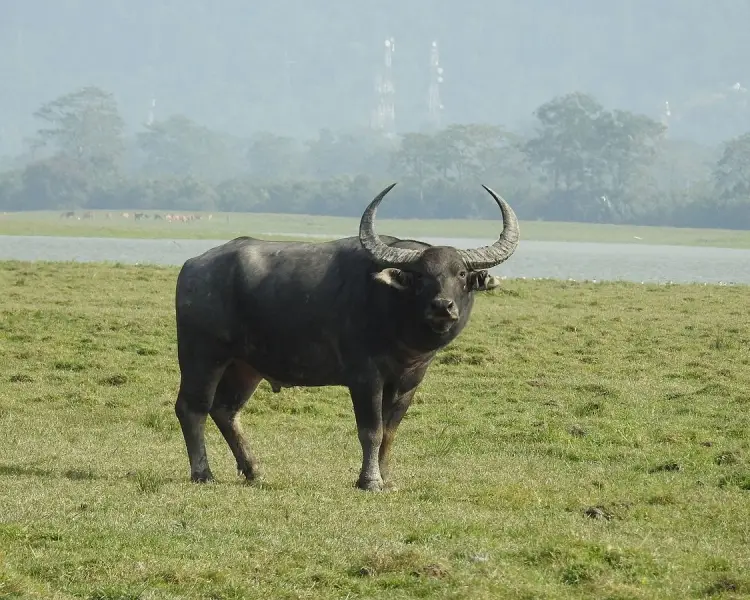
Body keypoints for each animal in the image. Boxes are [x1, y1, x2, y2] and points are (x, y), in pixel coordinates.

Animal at [174, 183, 520, 491]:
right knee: (192, 408)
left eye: (461, 274)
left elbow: (390, 432)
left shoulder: (409, 382)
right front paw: (370, 481)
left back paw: (254, 470)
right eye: (421, 276)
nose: (442, 306)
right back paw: (203, 473)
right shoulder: (365, 377)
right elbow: (371, 430)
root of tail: (192, 266)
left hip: (245, 366)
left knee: (225, 410)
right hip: (202, 356)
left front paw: (387, 478)